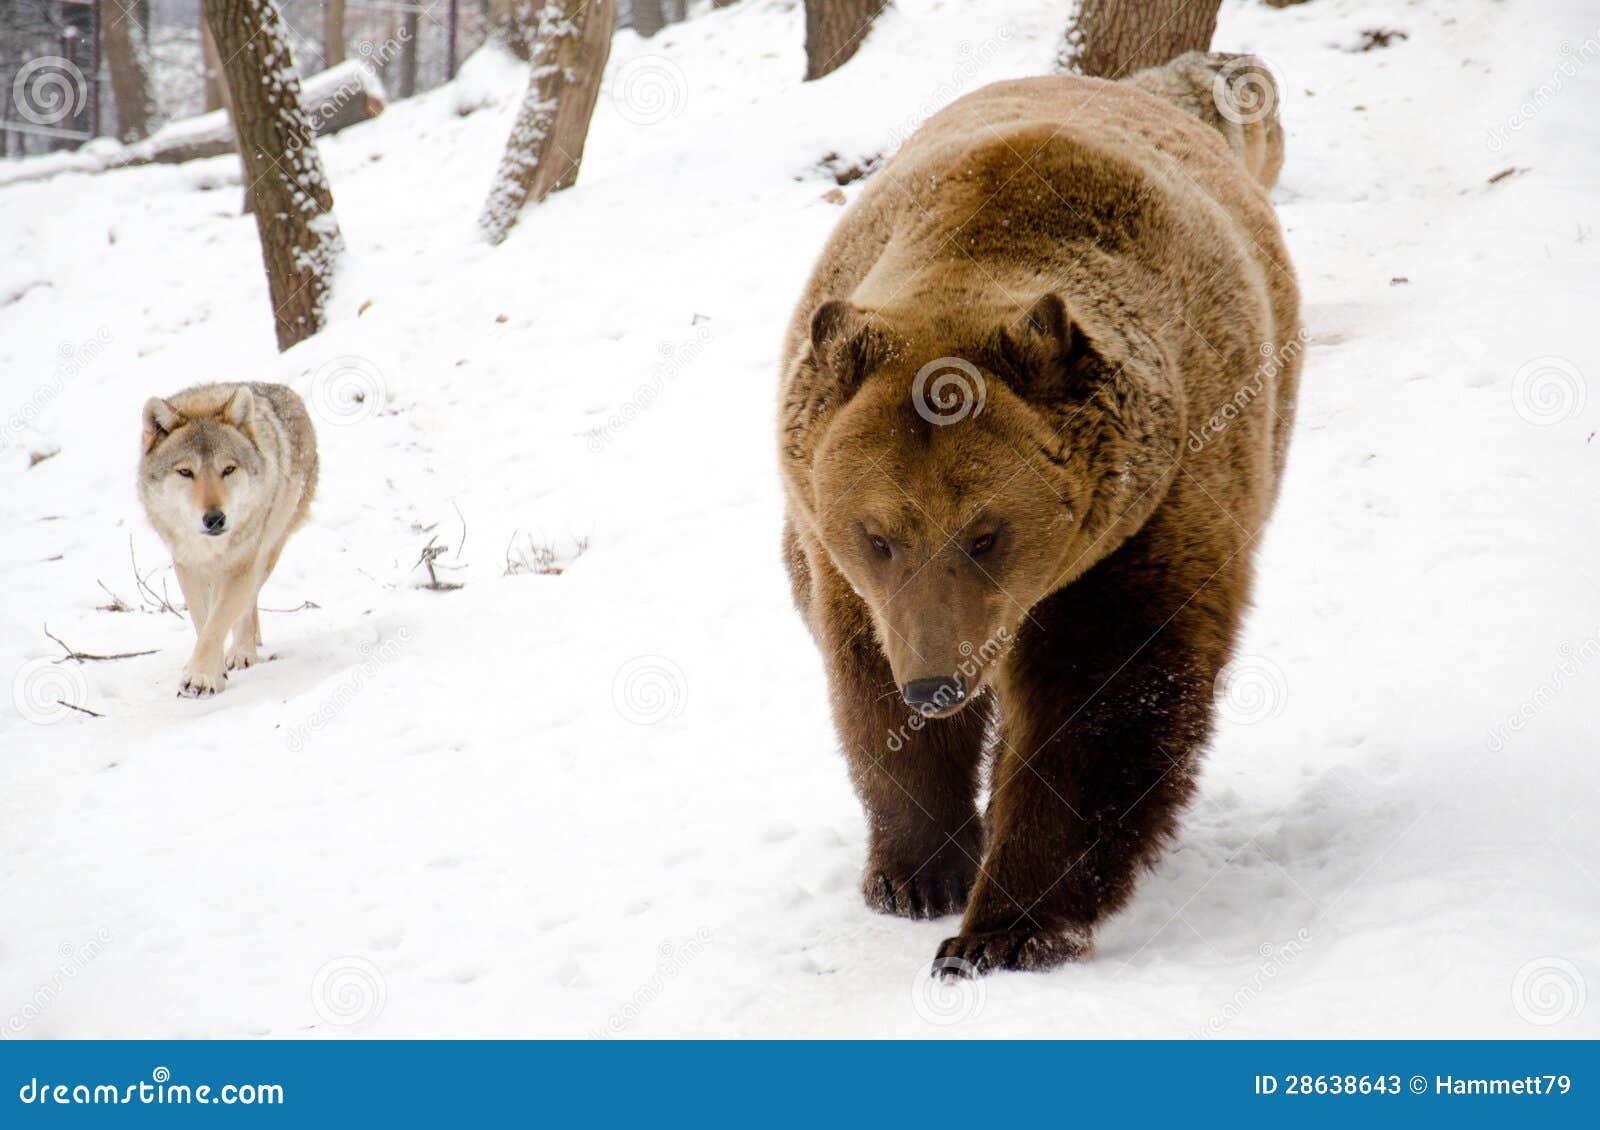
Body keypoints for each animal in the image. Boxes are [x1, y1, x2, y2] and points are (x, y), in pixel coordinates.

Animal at [138, 383, 318, 697]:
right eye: (185, 472)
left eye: (228, 469)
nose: (215, 519)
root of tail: (286, 390)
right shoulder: (188, 567)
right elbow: (203, 621)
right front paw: (213, 671)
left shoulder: (241, 565)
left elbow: (217, 623)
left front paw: (200, 677)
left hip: (267, 552)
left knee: (248, 605)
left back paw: (243, 652)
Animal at [777, 70, 1300, 977]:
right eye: (879, 537)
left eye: (987, 533)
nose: (938, 684)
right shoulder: (842, 563)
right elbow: (870, 694)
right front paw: (919, 871)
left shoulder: (1142, 524)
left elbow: (1098, 708)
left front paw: (1002, 926)